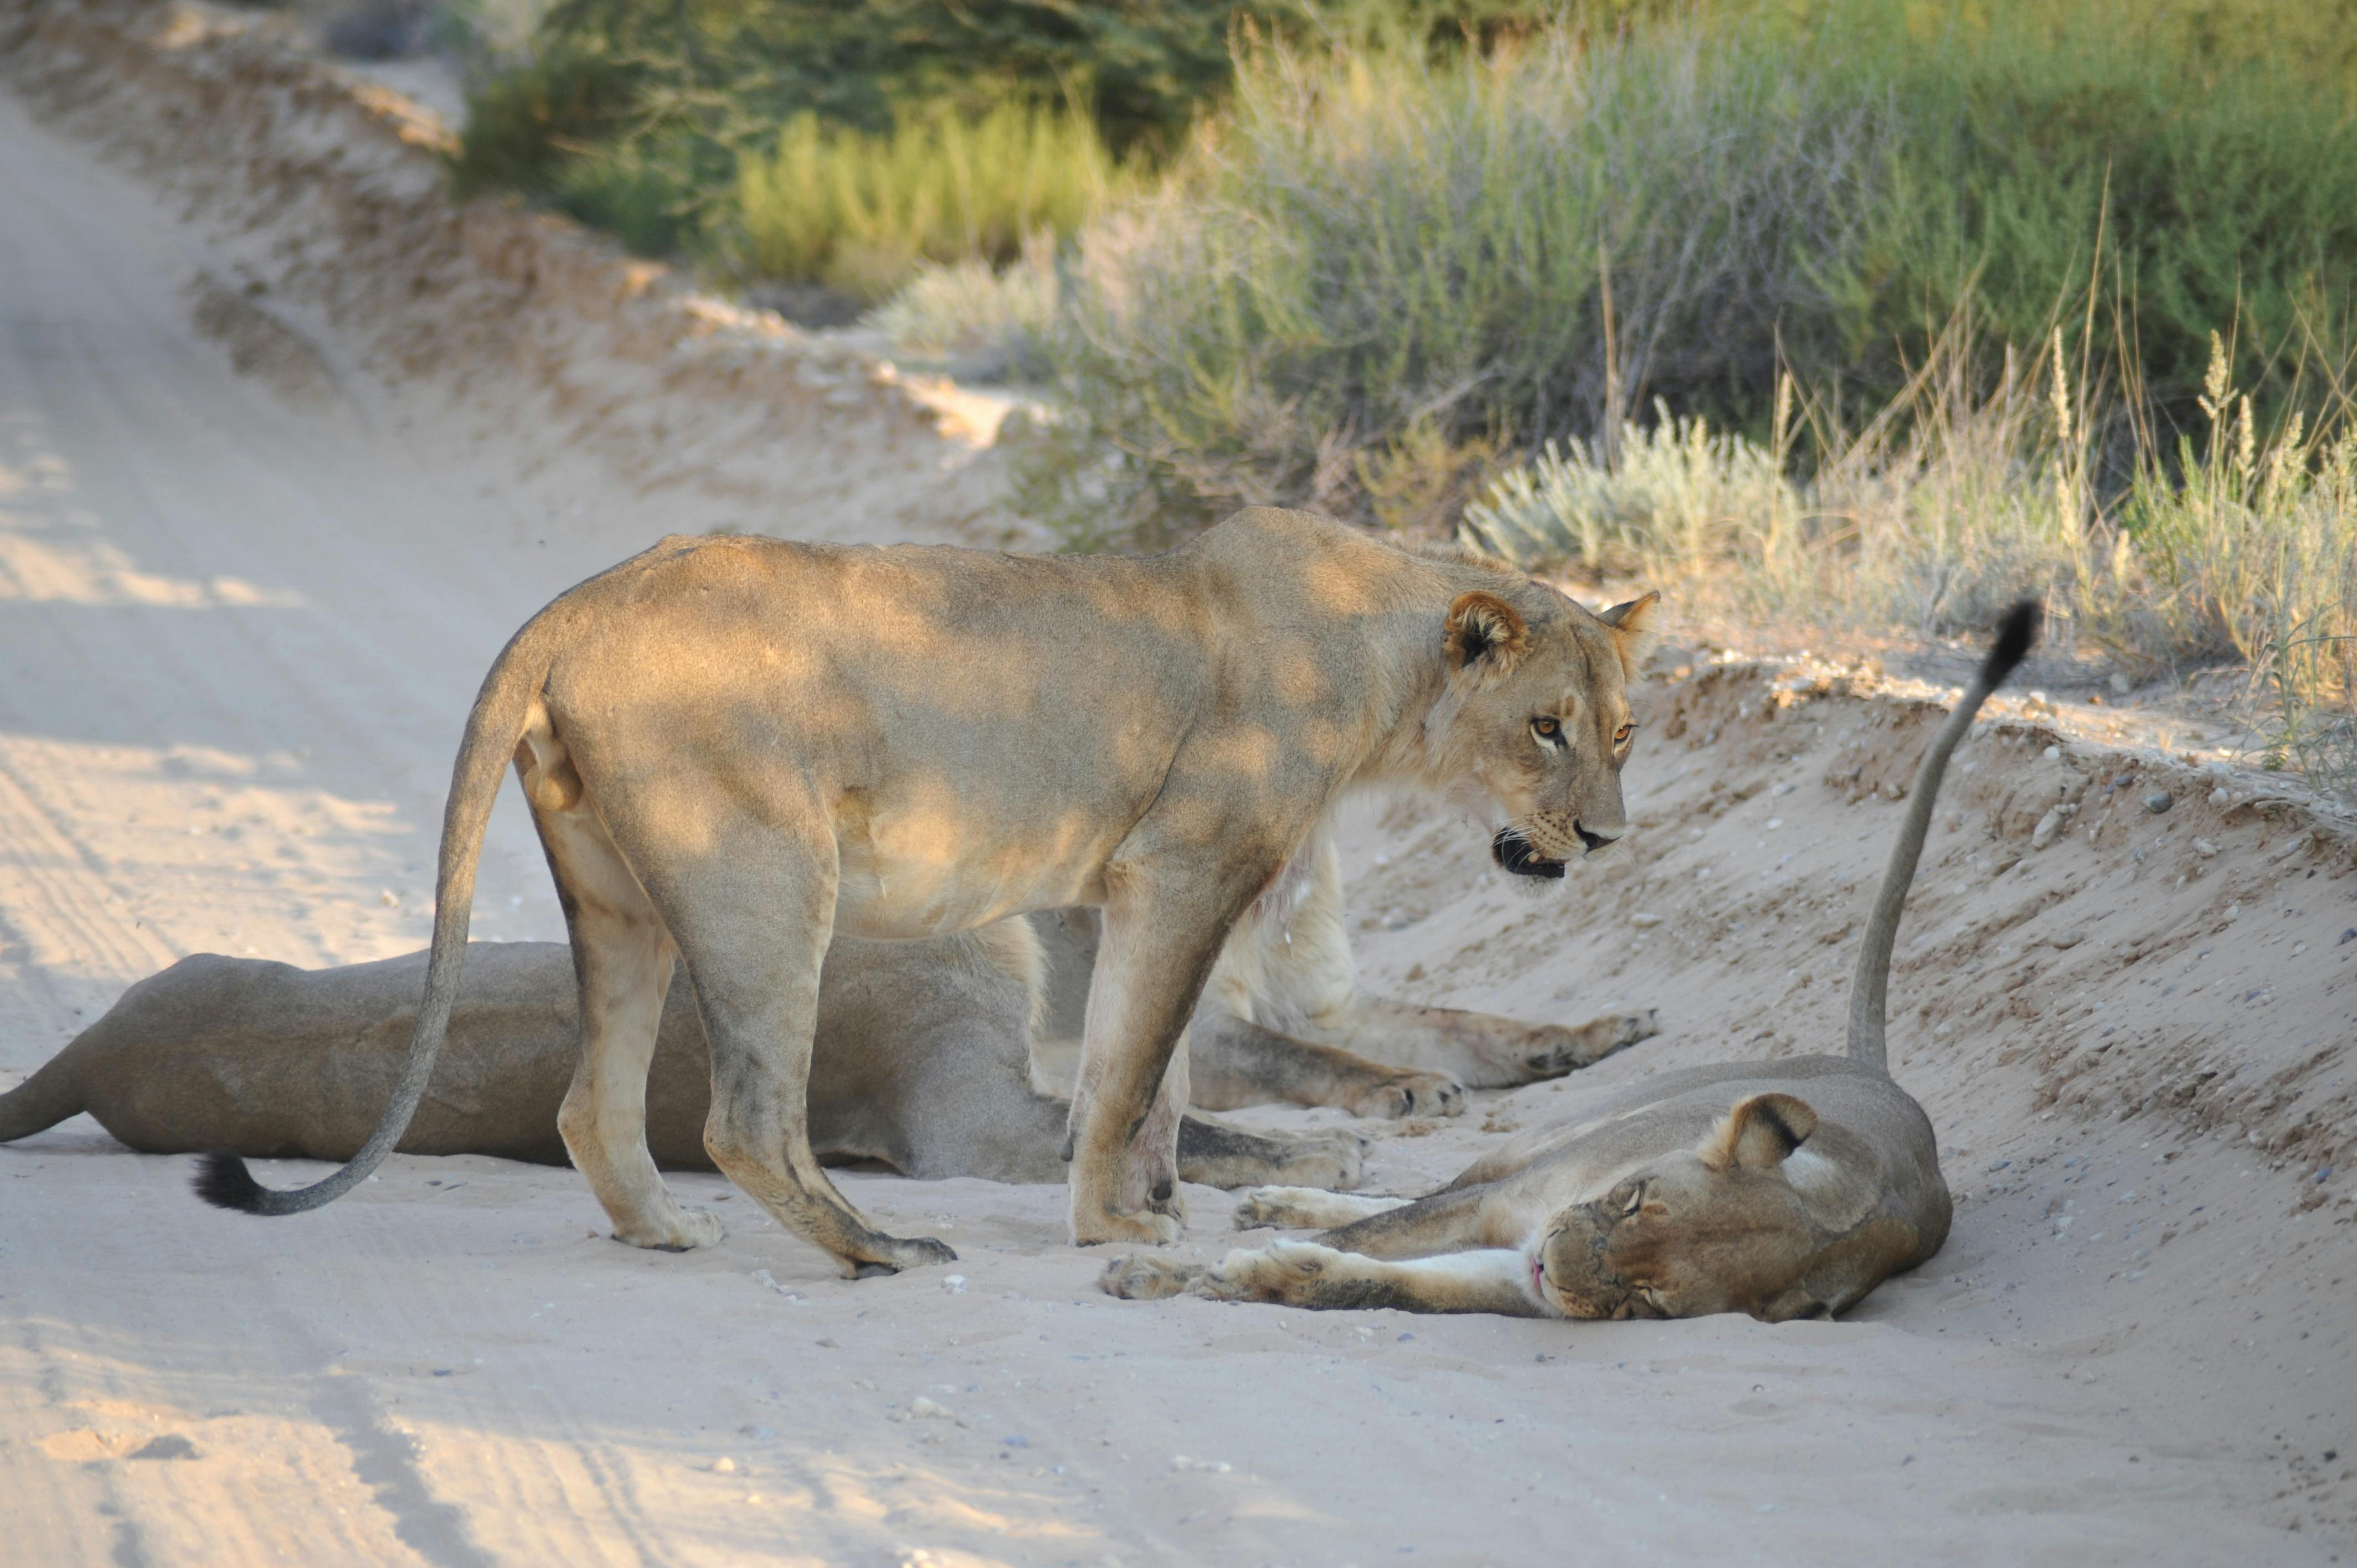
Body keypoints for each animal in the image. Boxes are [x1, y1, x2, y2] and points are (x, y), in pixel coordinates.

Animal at [193, 507, 1661, 1277]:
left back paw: (664, 1232)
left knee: (591, 1103)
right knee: (744, 1117)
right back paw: (876, 1249)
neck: (1382, 666)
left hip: (618, 899)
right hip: (771, 876)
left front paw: (1149, 1204)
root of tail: (579, 602)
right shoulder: (1182, 870)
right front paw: (1114, 1223)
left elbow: (1149, 1074)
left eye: (1623, 731)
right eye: (1543, 727)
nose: (1601, 837)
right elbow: (1136, 1071)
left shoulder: (1116, 892)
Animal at [1103, 602, 2040, 1324]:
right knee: (1425, 1183)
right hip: (1550, 1139)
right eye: (1635, 1198)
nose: (1553, 1255)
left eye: (1647, 1300)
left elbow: (1383, 1276)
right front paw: (1176, 1261)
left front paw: (1259, 1272)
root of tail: (1881, 1078)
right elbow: (1368, 1202)